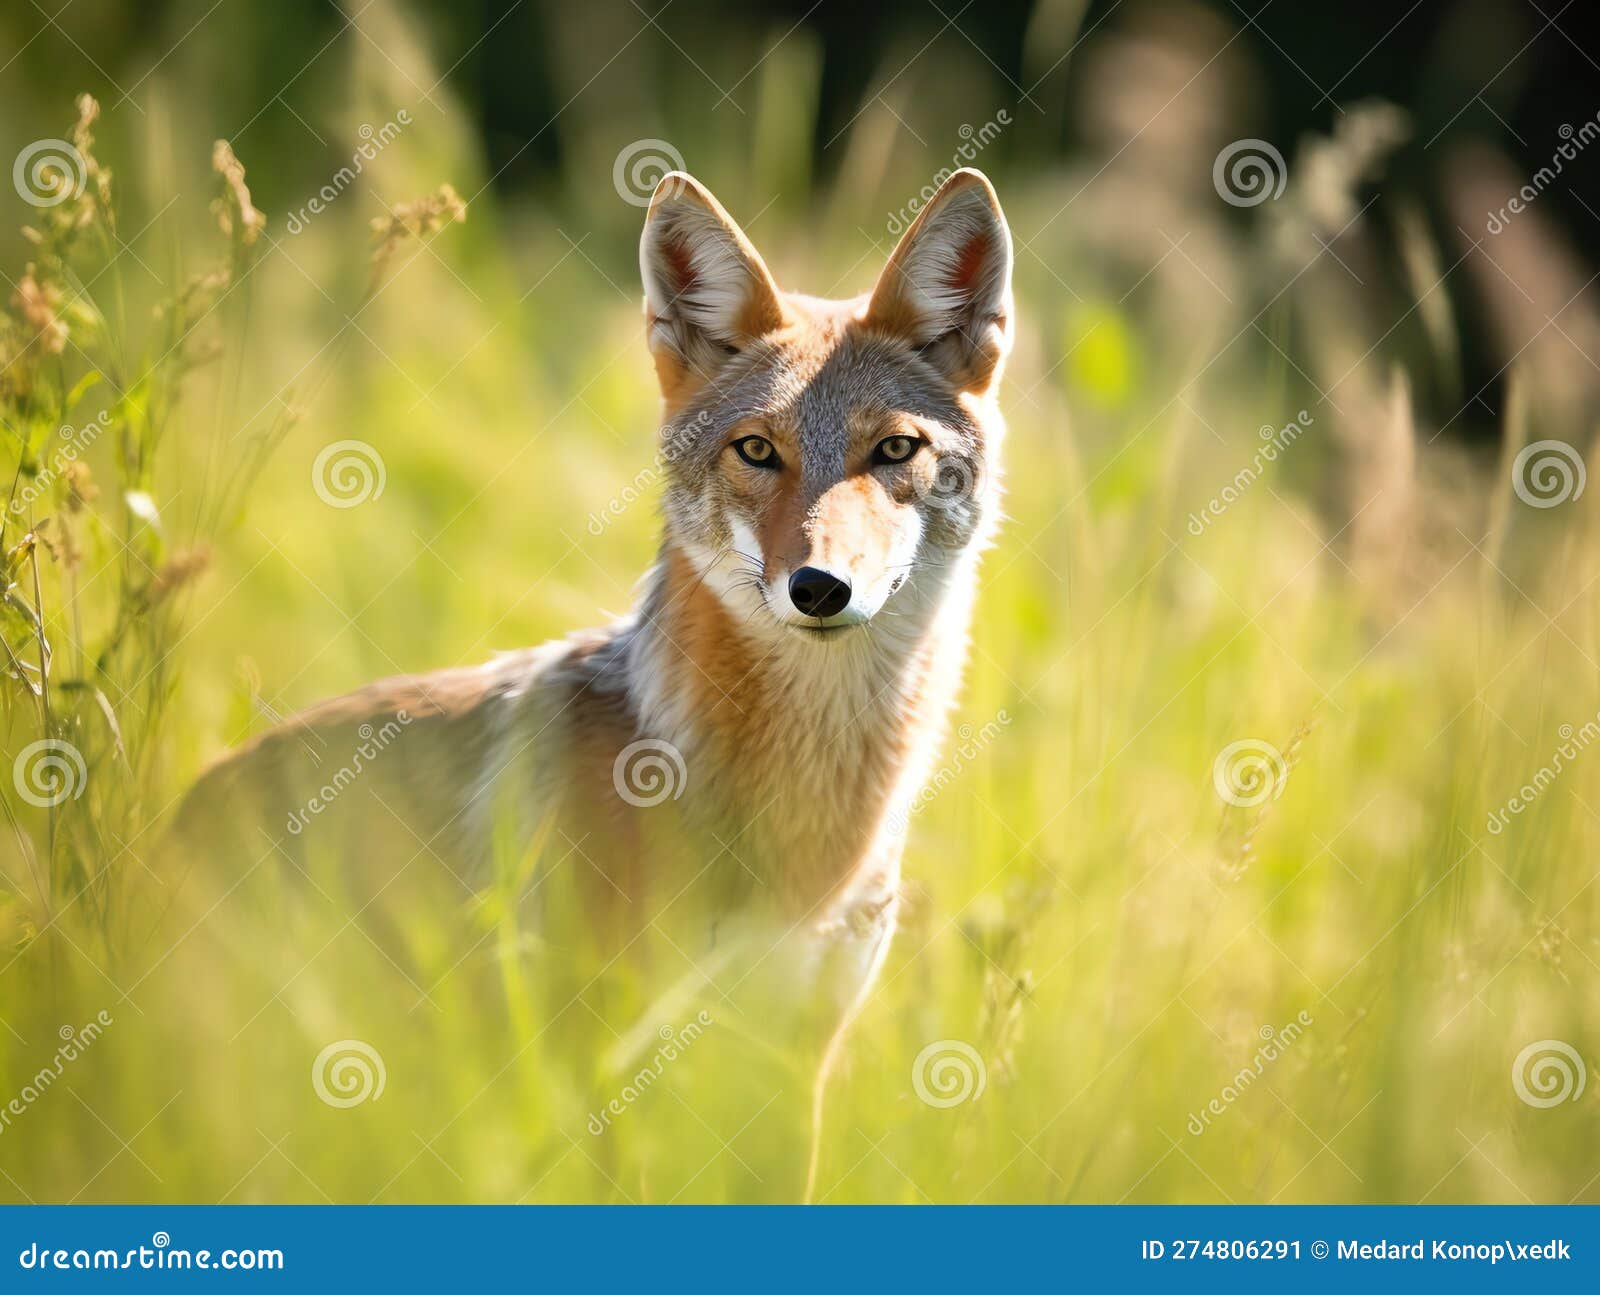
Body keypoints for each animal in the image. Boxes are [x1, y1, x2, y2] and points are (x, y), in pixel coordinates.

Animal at [175, 166, 1013, 1199]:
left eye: (893, 451)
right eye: (757, 450)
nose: (819, 587)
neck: (802, 836)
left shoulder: (793, 1070)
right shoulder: (612, 1065)